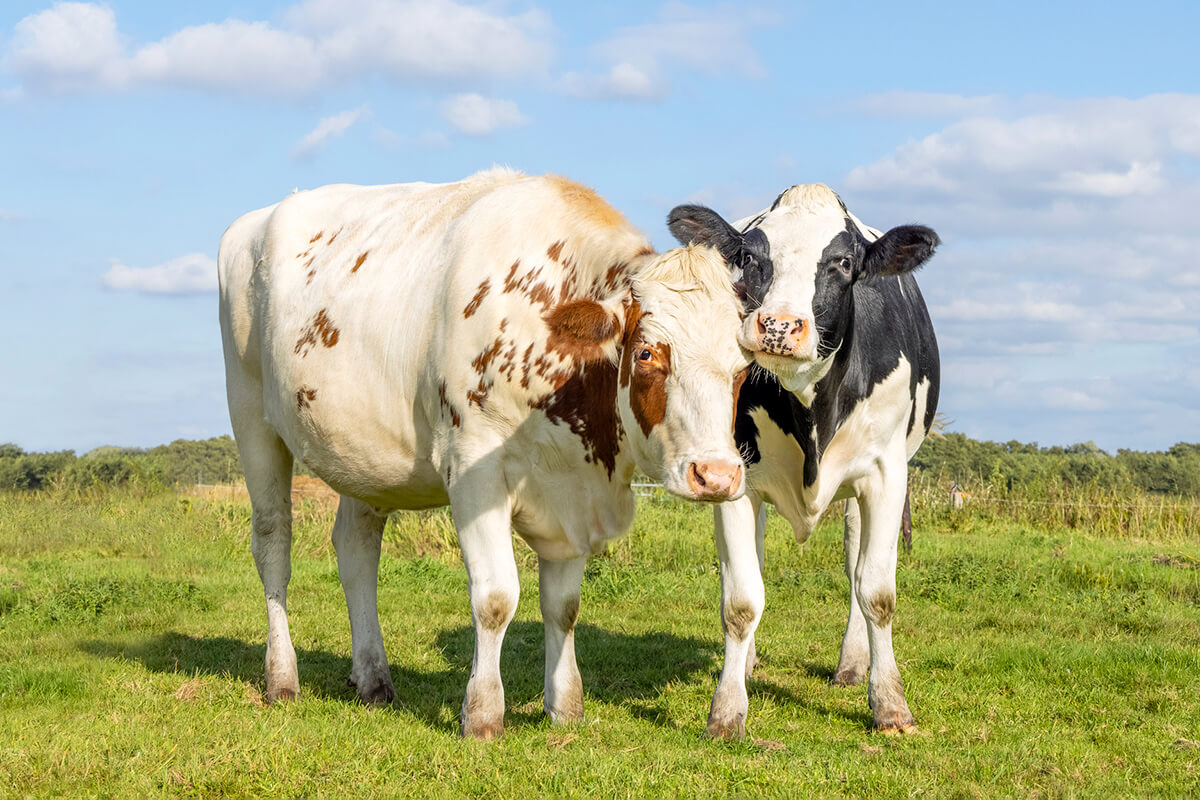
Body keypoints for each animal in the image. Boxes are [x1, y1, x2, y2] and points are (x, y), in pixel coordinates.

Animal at [218, 168, 753, 739]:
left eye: (743, 365)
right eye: (648, 352)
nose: (717, 476)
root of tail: (253, 221)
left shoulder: (574, 488)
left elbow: (563, 606)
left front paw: (565, 706)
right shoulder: (475, 471)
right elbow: (496, 598)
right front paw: (482, 713)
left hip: (362, 456)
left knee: (356, 551)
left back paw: (373, 678)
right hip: (252, 418)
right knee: (273, 544)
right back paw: (281, 677)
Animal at [667, 183, 940, 736]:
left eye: (843, 262)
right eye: (750, 257)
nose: (777, 325)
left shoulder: (886, 474)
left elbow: (877, 592)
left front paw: (891, 705)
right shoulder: (736, 475)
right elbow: (741, 599)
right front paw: (727, 710)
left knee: (856, 565)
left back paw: (853, 664)